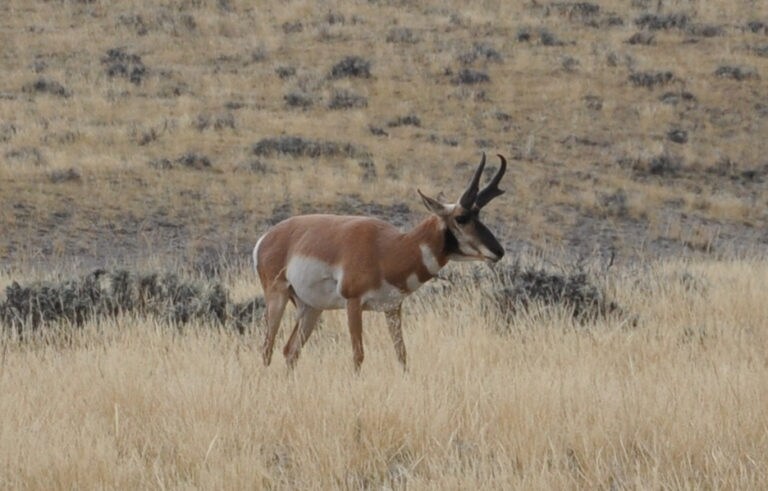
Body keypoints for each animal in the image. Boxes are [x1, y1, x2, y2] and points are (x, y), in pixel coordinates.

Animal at [253, 153, 507, 370]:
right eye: (461, 218)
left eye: (479, 215)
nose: (499, 251)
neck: (388, 249)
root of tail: (267, 237)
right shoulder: (354, 304)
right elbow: (358, 355)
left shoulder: (393, 308)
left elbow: (402, 355)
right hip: (277, 298)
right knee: (267, 348)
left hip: (312, 308)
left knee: (290, 350)